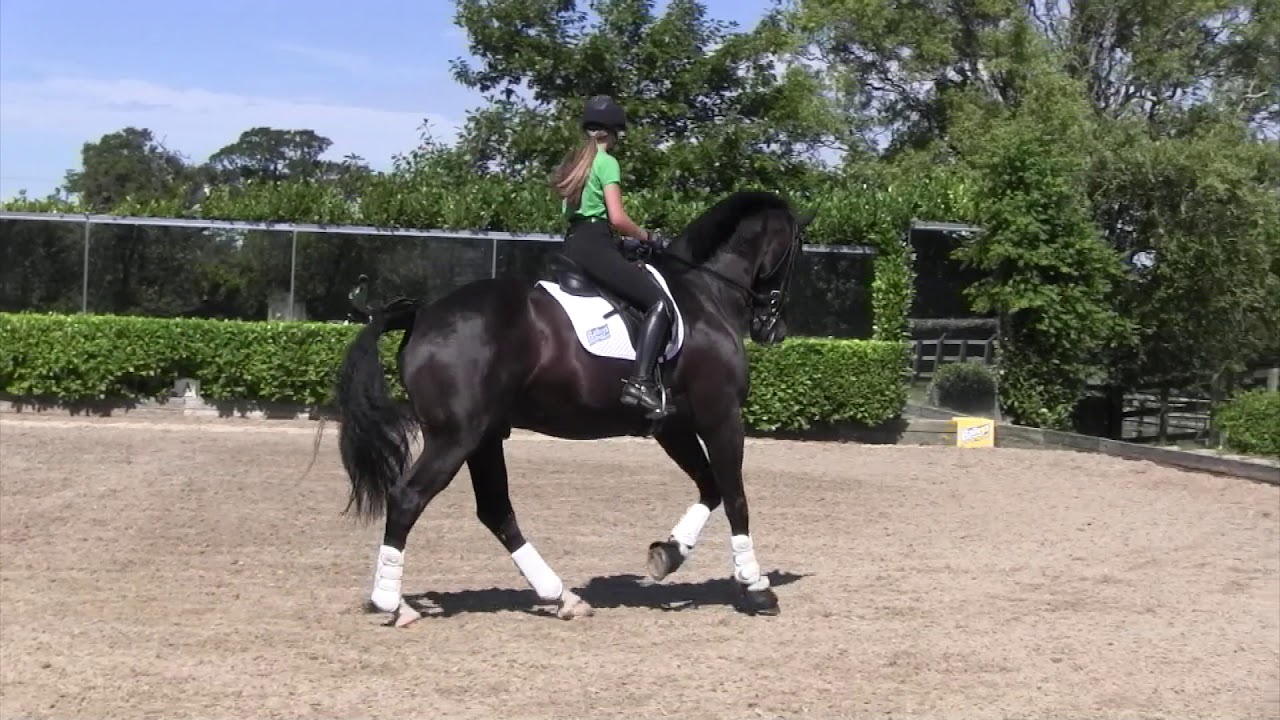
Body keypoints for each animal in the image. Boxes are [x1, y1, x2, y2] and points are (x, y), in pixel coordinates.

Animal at [333, 189, 813, 627]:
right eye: (797, 250)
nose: (774, 329)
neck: (704, 291)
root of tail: (424, 316)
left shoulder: (673, 425)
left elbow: (710, 488)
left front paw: (668, 554)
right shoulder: (721, 415)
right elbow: (735, 497)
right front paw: (755, 587)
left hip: (484, 436)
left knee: (496, 511)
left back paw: (562, 597)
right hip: (456, 437)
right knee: (408, 498)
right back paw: (392, 603)